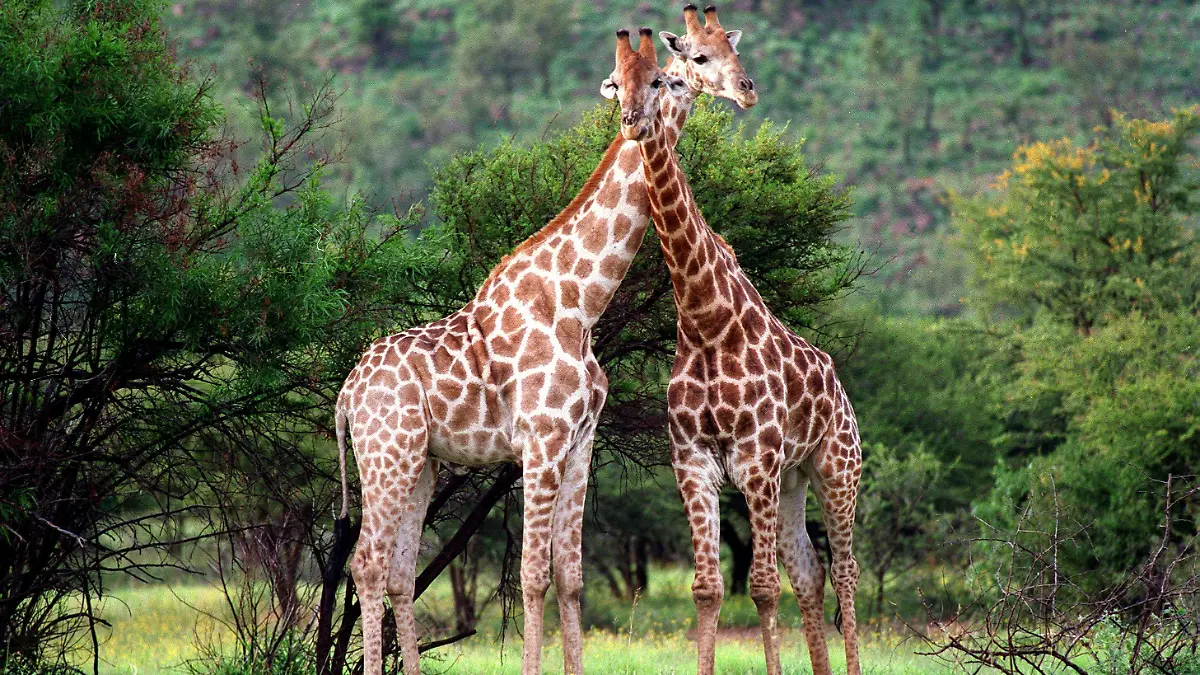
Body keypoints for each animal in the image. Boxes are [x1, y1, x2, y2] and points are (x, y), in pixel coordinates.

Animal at [335, 8, 756, 675]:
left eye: (663, 80)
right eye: (695, 61)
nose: (744, 90)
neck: (580, 303)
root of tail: (348, 392)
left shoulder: (580, 443)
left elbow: (570, 577)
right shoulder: (541, 440)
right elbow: (532, 576)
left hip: (421, 463)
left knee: (399, 571)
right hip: (387, 455)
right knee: (368, 565)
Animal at [605, 11, 864, 675]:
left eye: (664, 79)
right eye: (618, 81)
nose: (747, 90)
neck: (705, 319)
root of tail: (840, 390)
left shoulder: (756, 462)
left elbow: (762, 588)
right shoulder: (693, 462)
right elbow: (708, 588)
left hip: (836, 468)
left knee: (846, 570)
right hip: (795, 479)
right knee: (811, 572)